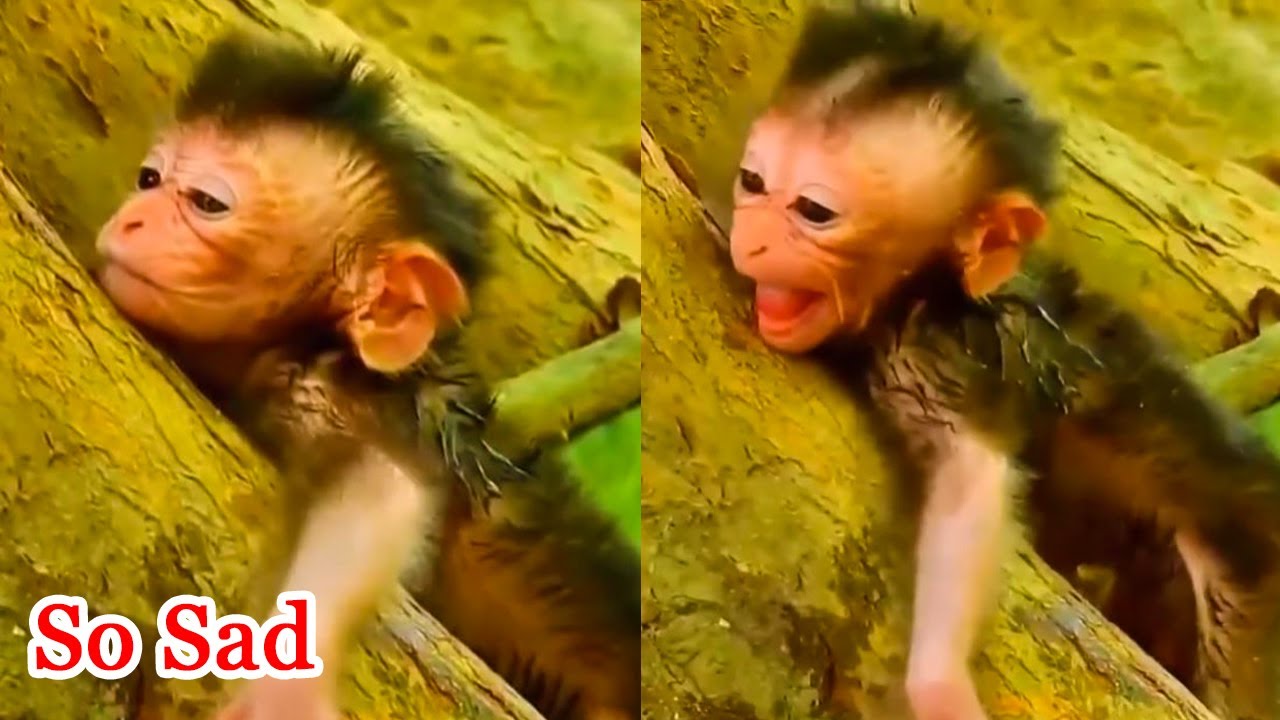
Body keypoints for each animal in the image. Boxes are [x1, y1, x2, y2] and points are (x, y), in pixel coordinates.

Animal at [725, 5, 1280, 720]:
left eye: (814, 211)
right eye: (754, 183)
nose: (752, 238)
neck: (928, 287)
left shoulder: (933, 350)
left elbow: (970, 483)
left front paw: (939, 686)